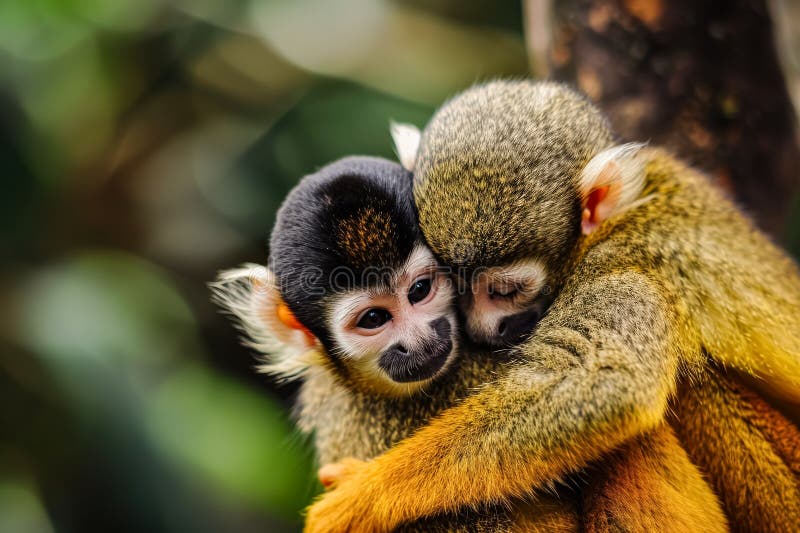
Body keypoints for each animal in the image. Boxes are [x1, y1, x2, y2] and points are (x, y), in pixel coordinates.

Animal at [303, 80, 800, 533]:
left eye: (505, 291)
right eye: (450, 286)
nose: (484, 331)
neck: (602, 231)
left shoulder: (620, 265)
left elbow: (605, 379)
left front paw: (362, 497)